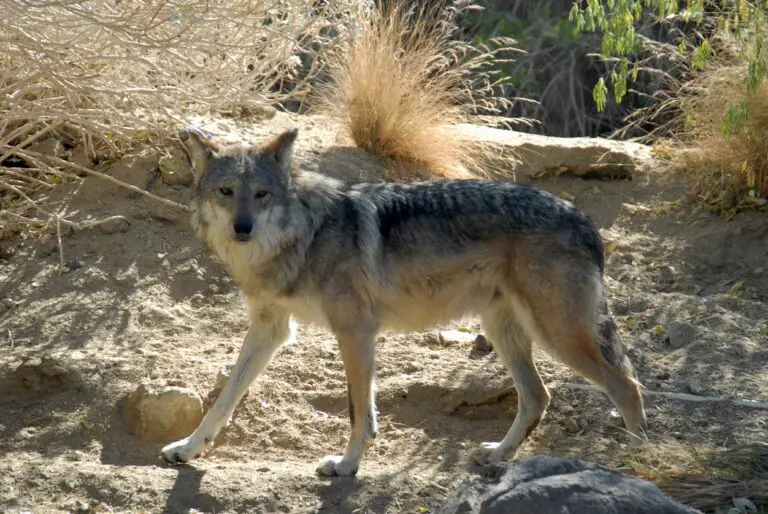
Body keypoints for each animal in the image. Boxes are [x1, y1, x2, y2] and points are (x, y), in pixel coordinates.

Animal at [159, 127, 647, 476]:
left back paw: (639, 462)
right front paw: (188, 447)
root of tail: (582, 218)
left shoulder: (355, 331)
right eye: (226, 192)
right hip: (505, 330)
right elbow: (225, 397)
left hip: (559, 335)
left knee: (627, 386)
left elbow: (358, 411)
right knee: (537, 397)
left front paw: (347, 466)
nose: (243, 229)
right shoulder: (271, 328)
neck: (305, 235)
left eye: (261, 195)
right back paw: (498, 455)